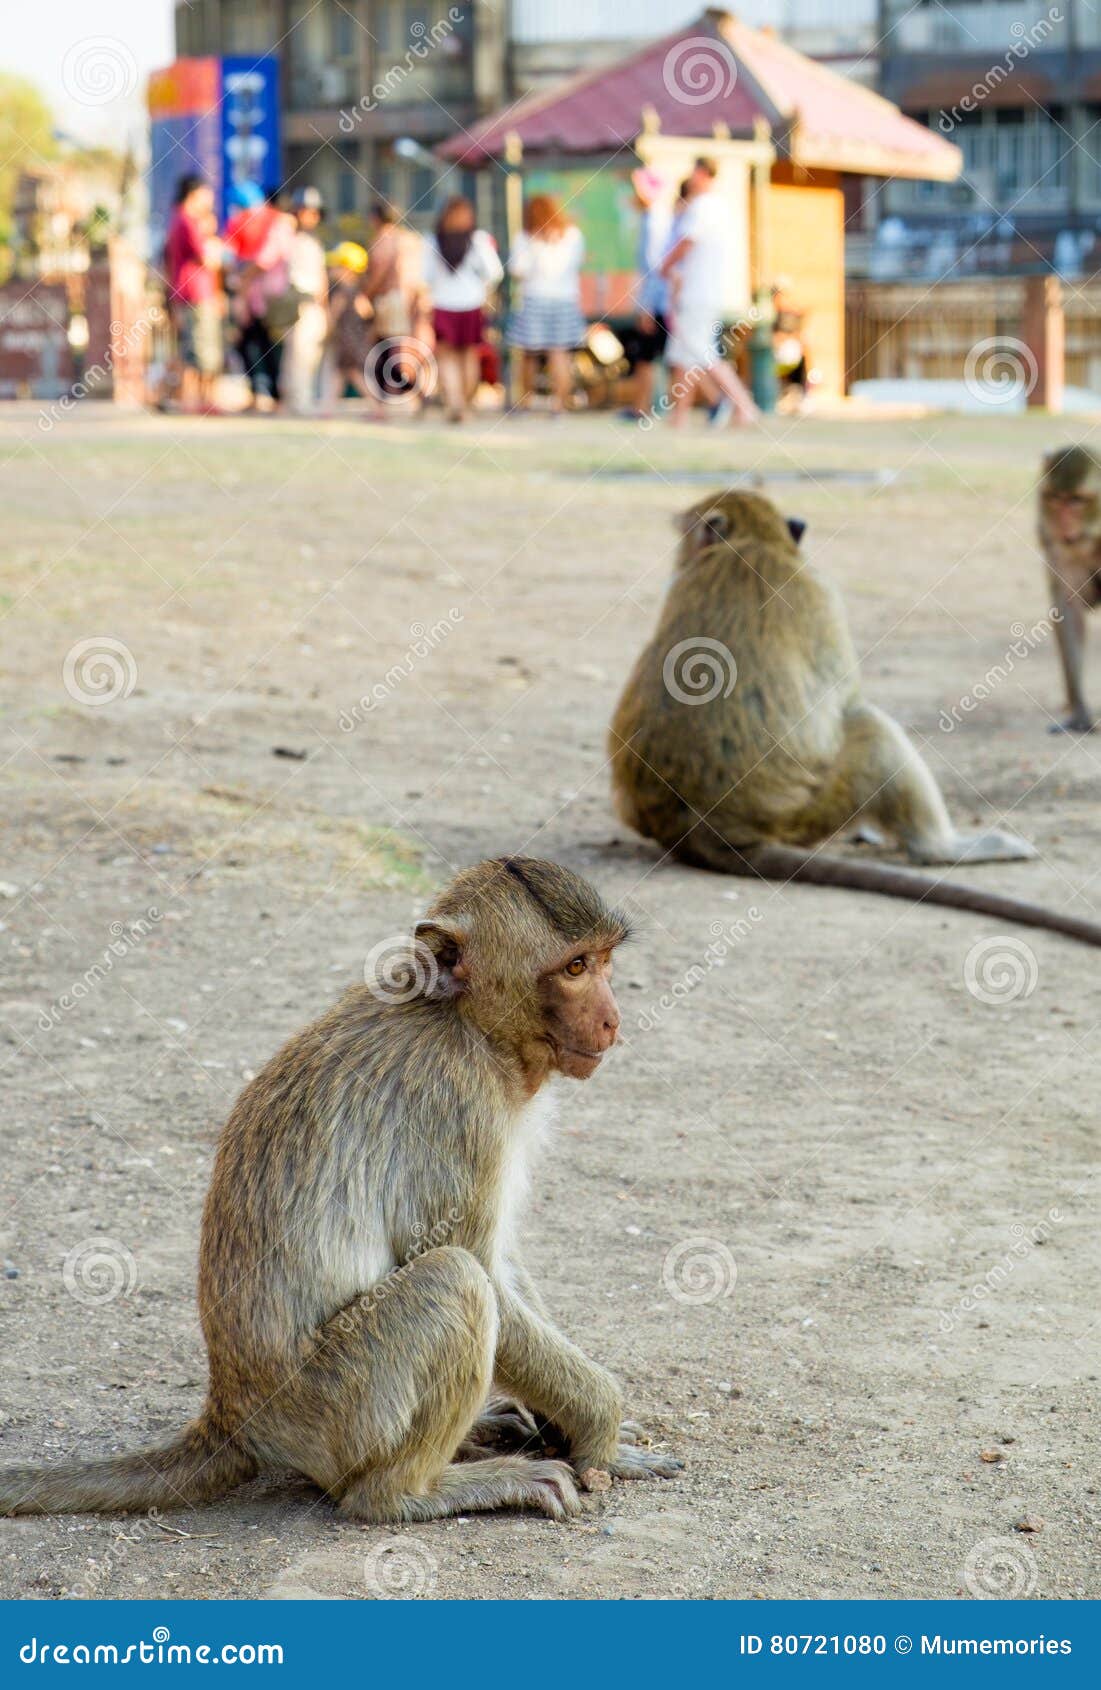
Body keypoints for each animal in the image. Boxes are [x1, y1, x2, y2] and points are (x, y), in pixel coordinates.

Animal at [0, 858, 680, 1523]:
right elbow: (480, 1268)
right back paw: (412, 1493)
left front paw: (566, 1425)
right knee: (453, 1280)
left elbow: (505, 1264)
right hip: (334, 1407)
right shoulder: (459, 1101)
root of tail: (231, 1414)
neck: (463, 1019)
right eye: (573, 968)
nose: (613, 1019)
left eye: (602, 960)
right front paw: (600, 1428)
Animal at [608, 489, 1101, 948]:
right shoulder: (819, 589)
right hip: (809, 809)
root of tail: (702, 826)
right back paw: (940, 847)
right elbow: (843, 697)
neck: (752, 542)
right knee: (870, 726)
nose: (681, 554)